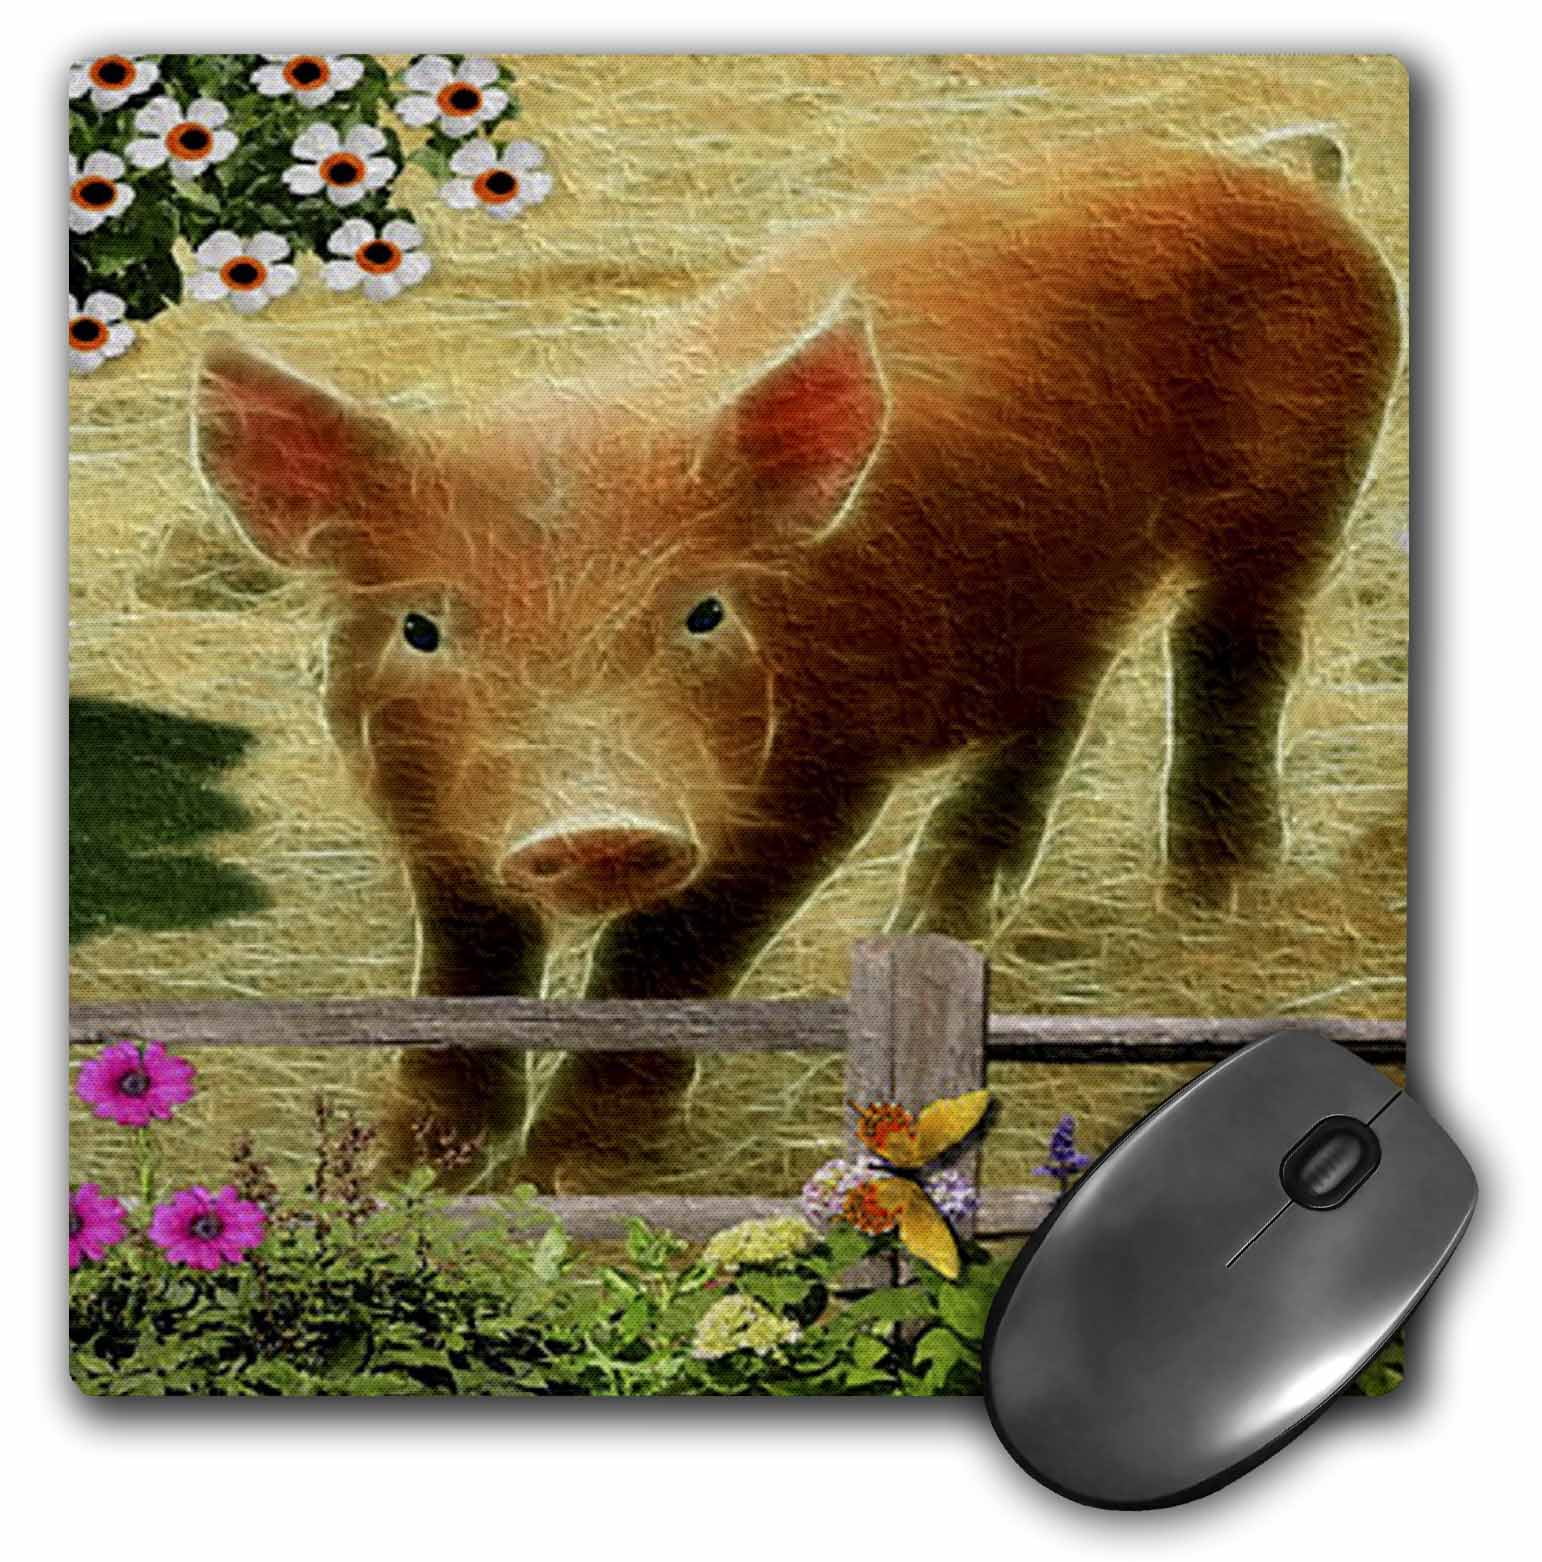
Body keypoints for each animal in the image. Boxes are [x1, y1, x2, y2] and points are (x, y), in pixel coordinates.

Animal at [195, 138, 1401, 1191]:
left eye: (705, 611)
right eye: (421, 627)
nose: (599, 826)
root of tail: (1273, 168)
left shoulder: (823, 771)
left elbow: (671, 953)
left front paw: (572, 1173)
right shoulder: (419, 799)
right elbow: (469, 970)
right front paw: (415, 1172)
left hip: (1306, 475)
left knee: (1238, 645)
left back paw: (1212, 899)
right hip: (1070, 579)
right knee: (1061, 695)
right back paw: (939, 923)